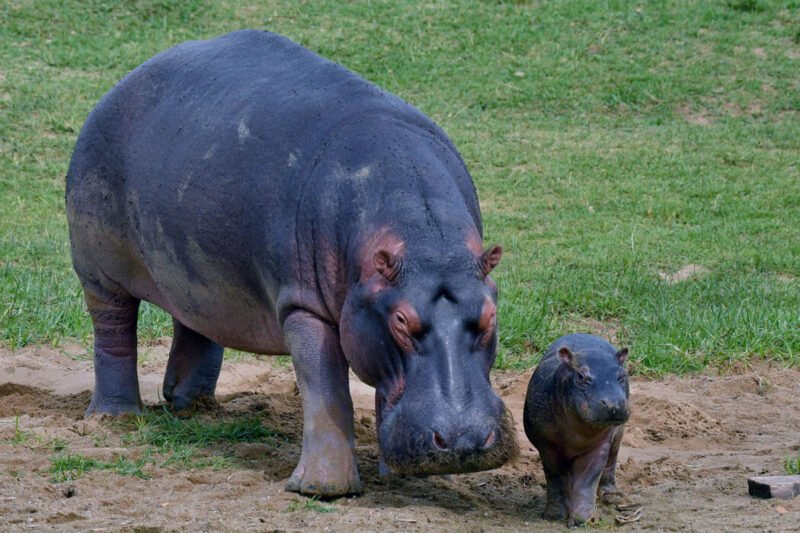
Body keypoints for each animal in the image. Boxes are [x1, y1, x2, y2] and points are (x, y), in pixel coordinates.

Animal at [65, 30, 517, 497]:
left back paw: (194, 407)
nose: (463, 441)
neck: (425, 238)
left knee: (195, 323)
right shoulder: (305, 306)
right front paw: (322, 487)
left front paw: (394, 472)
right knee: (114, 332)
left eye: (490, 315)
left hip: (192, 268)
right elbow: (326, 388)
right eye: (401, 321)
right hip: (98, 270)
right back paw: (115, 419)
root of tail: (126, 81)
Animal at [523, 334, 630, 526]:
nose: (613, 404)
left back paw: (612, 497)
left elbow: (586, 480)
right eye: (580, 376)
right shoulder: (548, 446)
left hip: (618, 433)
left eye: (622, 375)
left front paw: (586, 519)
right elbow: (556, 478)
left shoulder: (599, 446)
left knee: (612, 460)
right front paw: (554, 516)